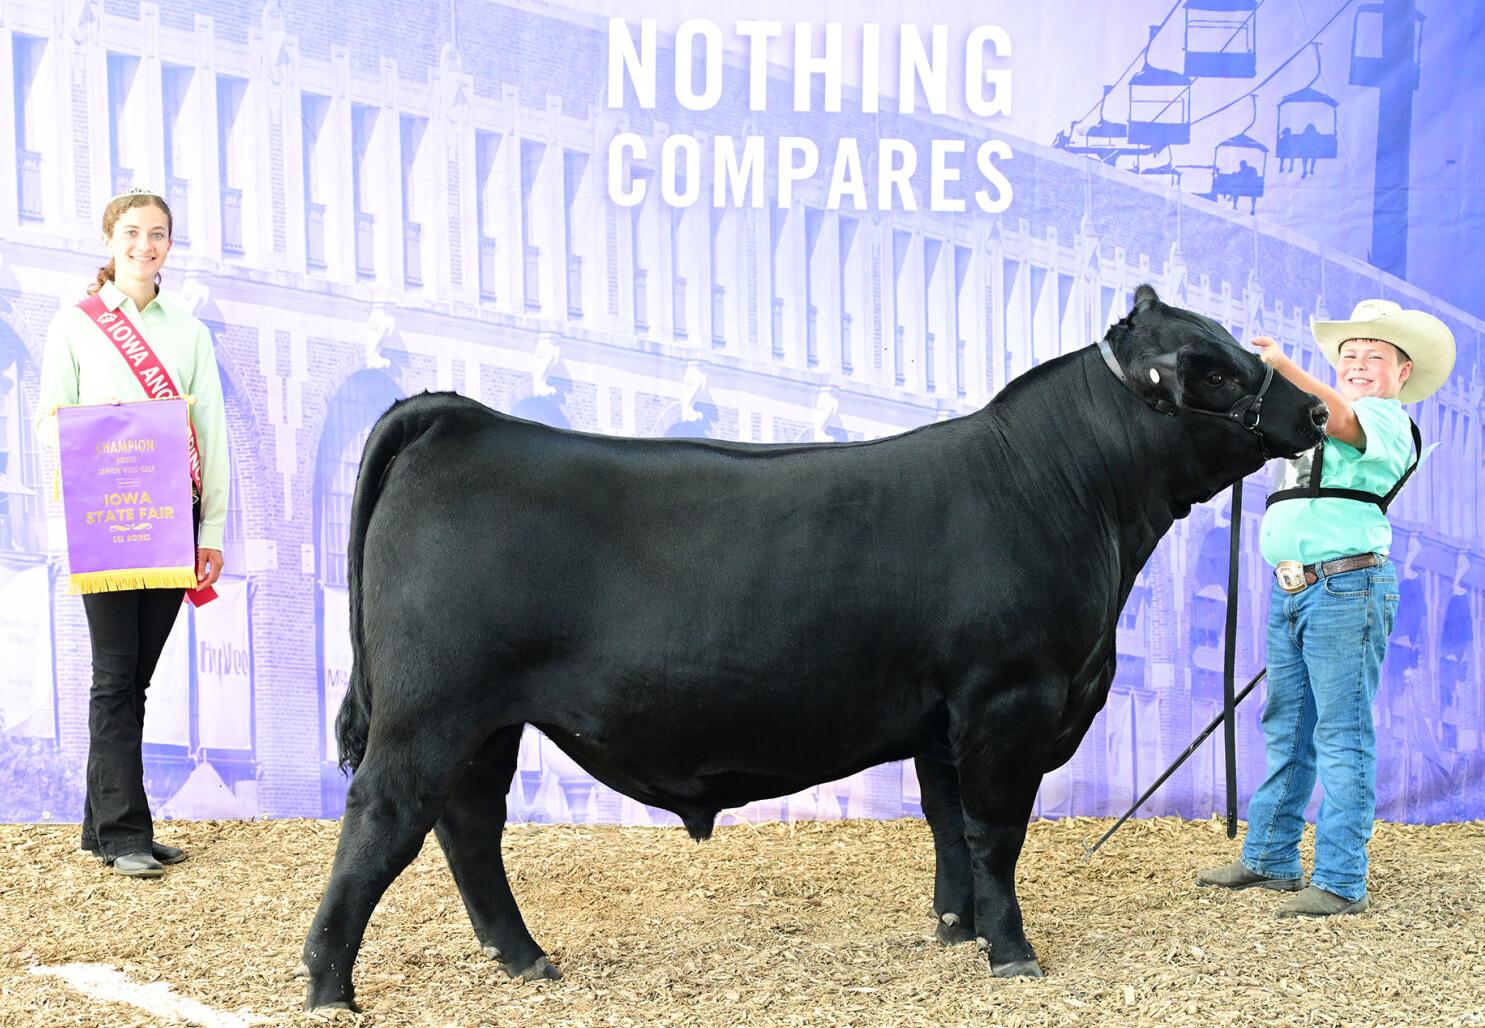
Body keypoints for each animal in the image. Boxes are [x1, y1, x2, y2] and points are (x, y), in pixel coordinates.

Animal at [301, 285, 1327, 1011]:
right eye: (1215, 373)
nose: (1316, 416)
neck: (1067, 491)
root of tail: (463, 416)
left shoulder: (943, 717)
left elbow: (948, 825)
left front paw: (954, 932)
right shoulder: (1010, 697)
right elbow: (996, 831)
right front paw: (1012, 954)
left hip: (486, 723)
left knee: (469, 826)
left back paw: (524, 960)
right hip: (432, 711)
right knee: (385, 820)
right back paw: (328, 985)